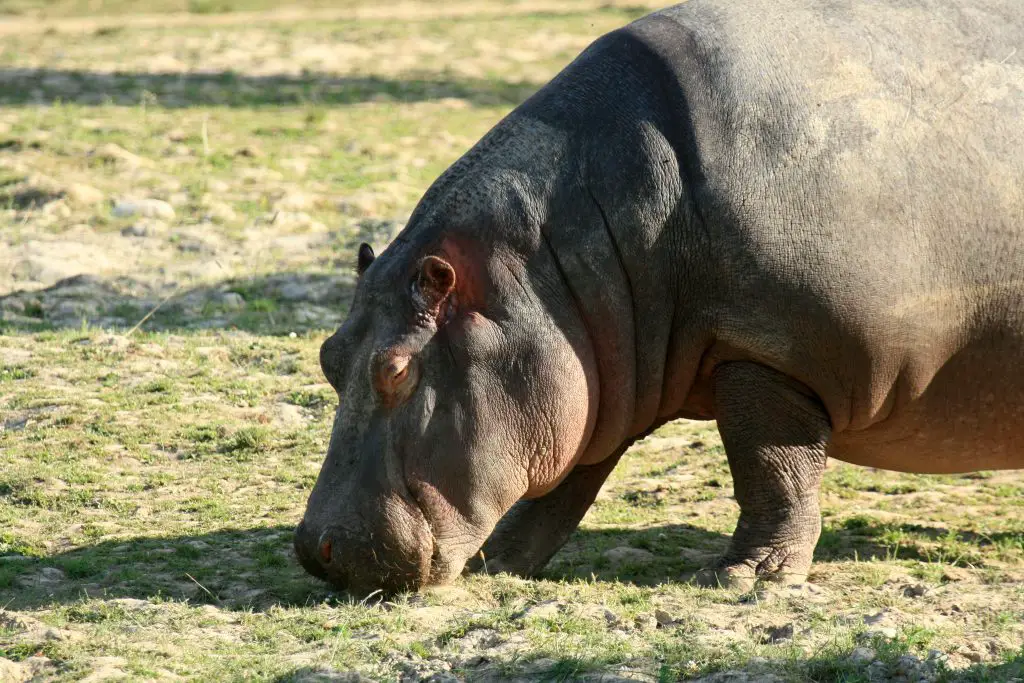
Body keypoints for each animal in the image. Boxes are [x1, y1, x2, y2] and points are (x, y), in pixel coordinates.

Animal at [294, 0, 1024, 594]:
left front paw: (743, 576)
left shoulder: (768, 353)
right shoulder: (593, 374)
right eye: (329, 355)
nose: (313, 551)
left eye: (396, 368)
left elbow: (772, 470)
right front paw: (496, 562)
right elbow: (563, 484)